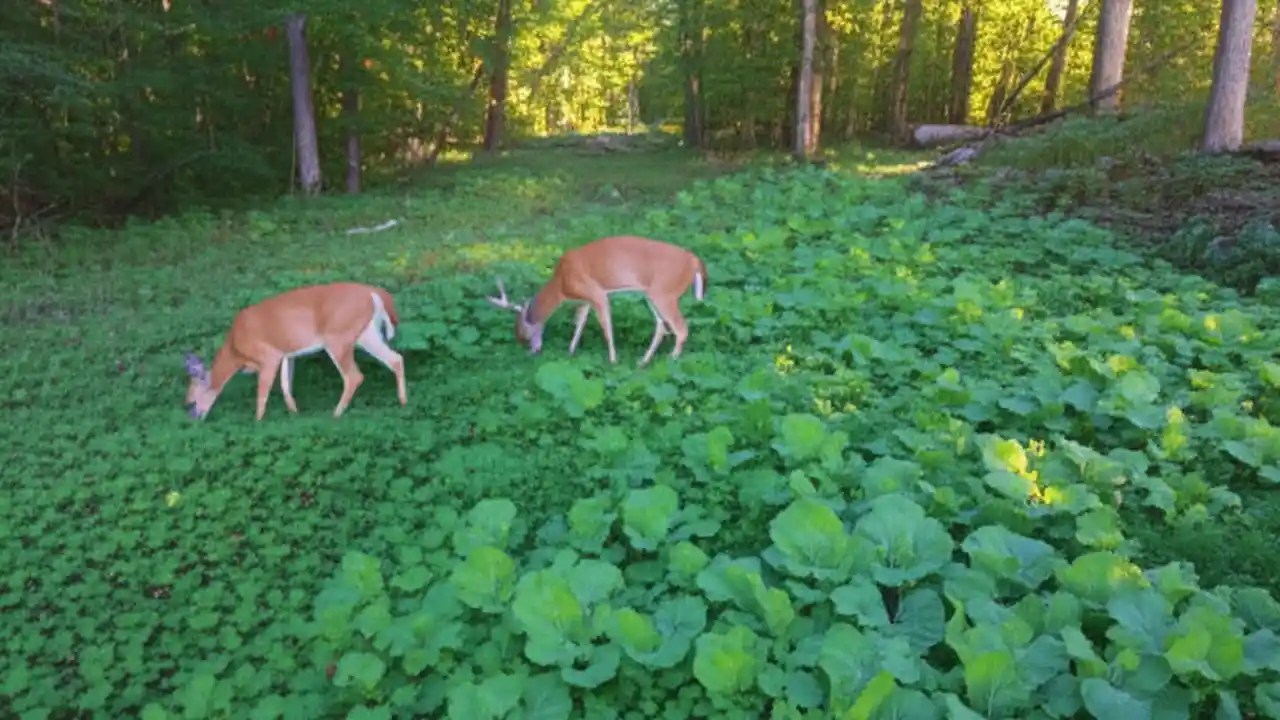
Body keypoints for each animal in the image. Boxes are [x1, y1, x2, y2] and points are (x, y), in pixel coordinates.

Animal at [183, 282, 407, 421]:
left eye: (191, 401)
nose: (192, 417)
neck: (236, 351)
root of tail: (375, 294)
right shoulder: (286, 354)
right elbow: (285, 386)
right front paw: (294, 413)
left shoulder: (268, 355)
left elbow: (262, 392)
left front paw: (257, 421)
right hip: (366, 333)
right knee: (396, 359)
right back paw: (403, 402)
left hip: (338, 337)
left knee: (354, 376)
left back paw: (335, 414)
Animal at [485, 235, 708, 367]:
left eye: (523, 334)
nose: (531, 351)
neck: (562, 284)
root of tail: (694, 261)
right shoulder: (586, 299)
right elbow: (579, 322)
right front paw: (570, 351)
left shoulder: (596, 292)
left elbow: (606, 327)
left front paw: (613, 360)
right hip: (651, 294)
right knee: (662, 325)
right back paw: (643, 362)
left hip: (665, 292)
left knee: (681, 328)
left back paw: (671, 360)